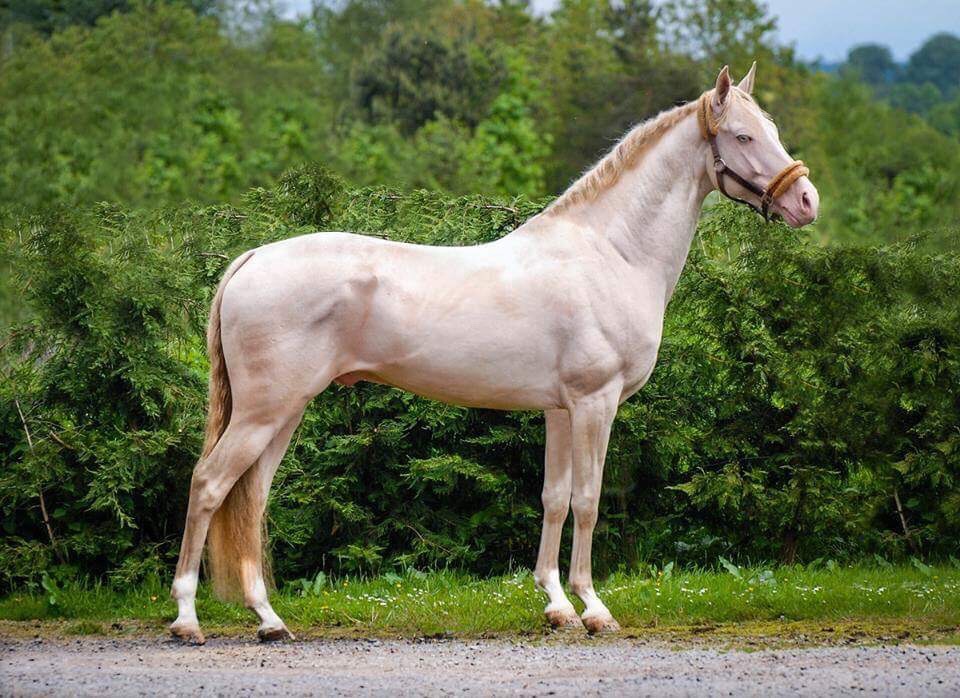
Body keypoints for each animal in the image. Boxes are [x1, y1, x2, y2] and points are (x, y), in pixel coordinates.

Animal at [170, 63, 819, 644]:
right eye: (743, 136)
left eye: (772, 128)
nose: (807, 201)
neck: (610, 251)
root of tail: (253, 258)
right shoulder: (595, 403)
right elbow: (588, 501)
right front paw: (594, 608)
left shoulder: (561, 410)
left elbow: (554, 499)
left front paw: (557, 605)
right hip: (264, 411)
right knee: (209, 485)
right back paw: (187, 619)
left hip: (285, 412)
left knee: (251, 499)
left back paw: (269, 620)